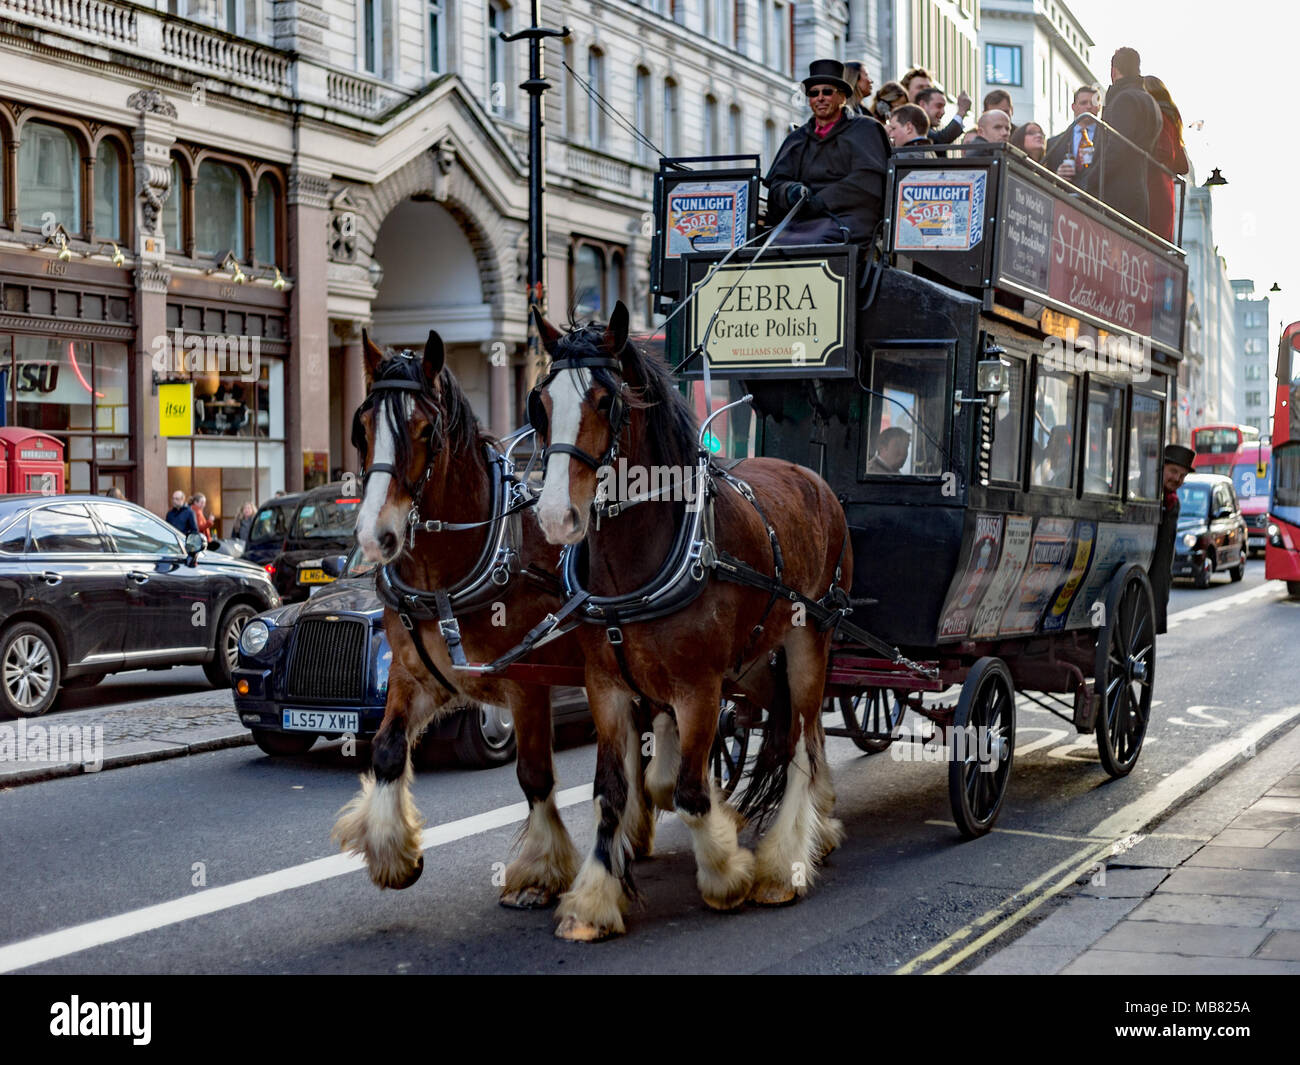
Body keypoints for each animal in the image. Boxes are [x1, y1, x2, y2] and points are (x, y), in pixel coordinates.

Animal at [332, 330, 656, 907]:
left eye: (425, 429)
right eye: (361, 427)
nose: (375, 535)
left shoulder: (527, 684)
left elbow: (534, 775)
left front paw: (540, 872)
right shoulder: (415, 676)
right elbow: (388, 749)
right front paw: (394, 854)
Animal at [528, 300, 852, 941]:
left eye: (604, 401)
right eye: (541, 403)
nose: (556, 516)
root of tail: (810, 475)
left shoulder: (698, 689)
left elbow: (690, 794)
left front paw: (727, 874)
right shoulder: (605, 688)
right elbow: (611, 792)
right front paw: (594, 900)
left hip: (811, 638)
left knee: (802, 743)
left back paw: (784, 864)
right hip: (754, 661)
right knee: (804, 736)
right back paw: (821, 828)